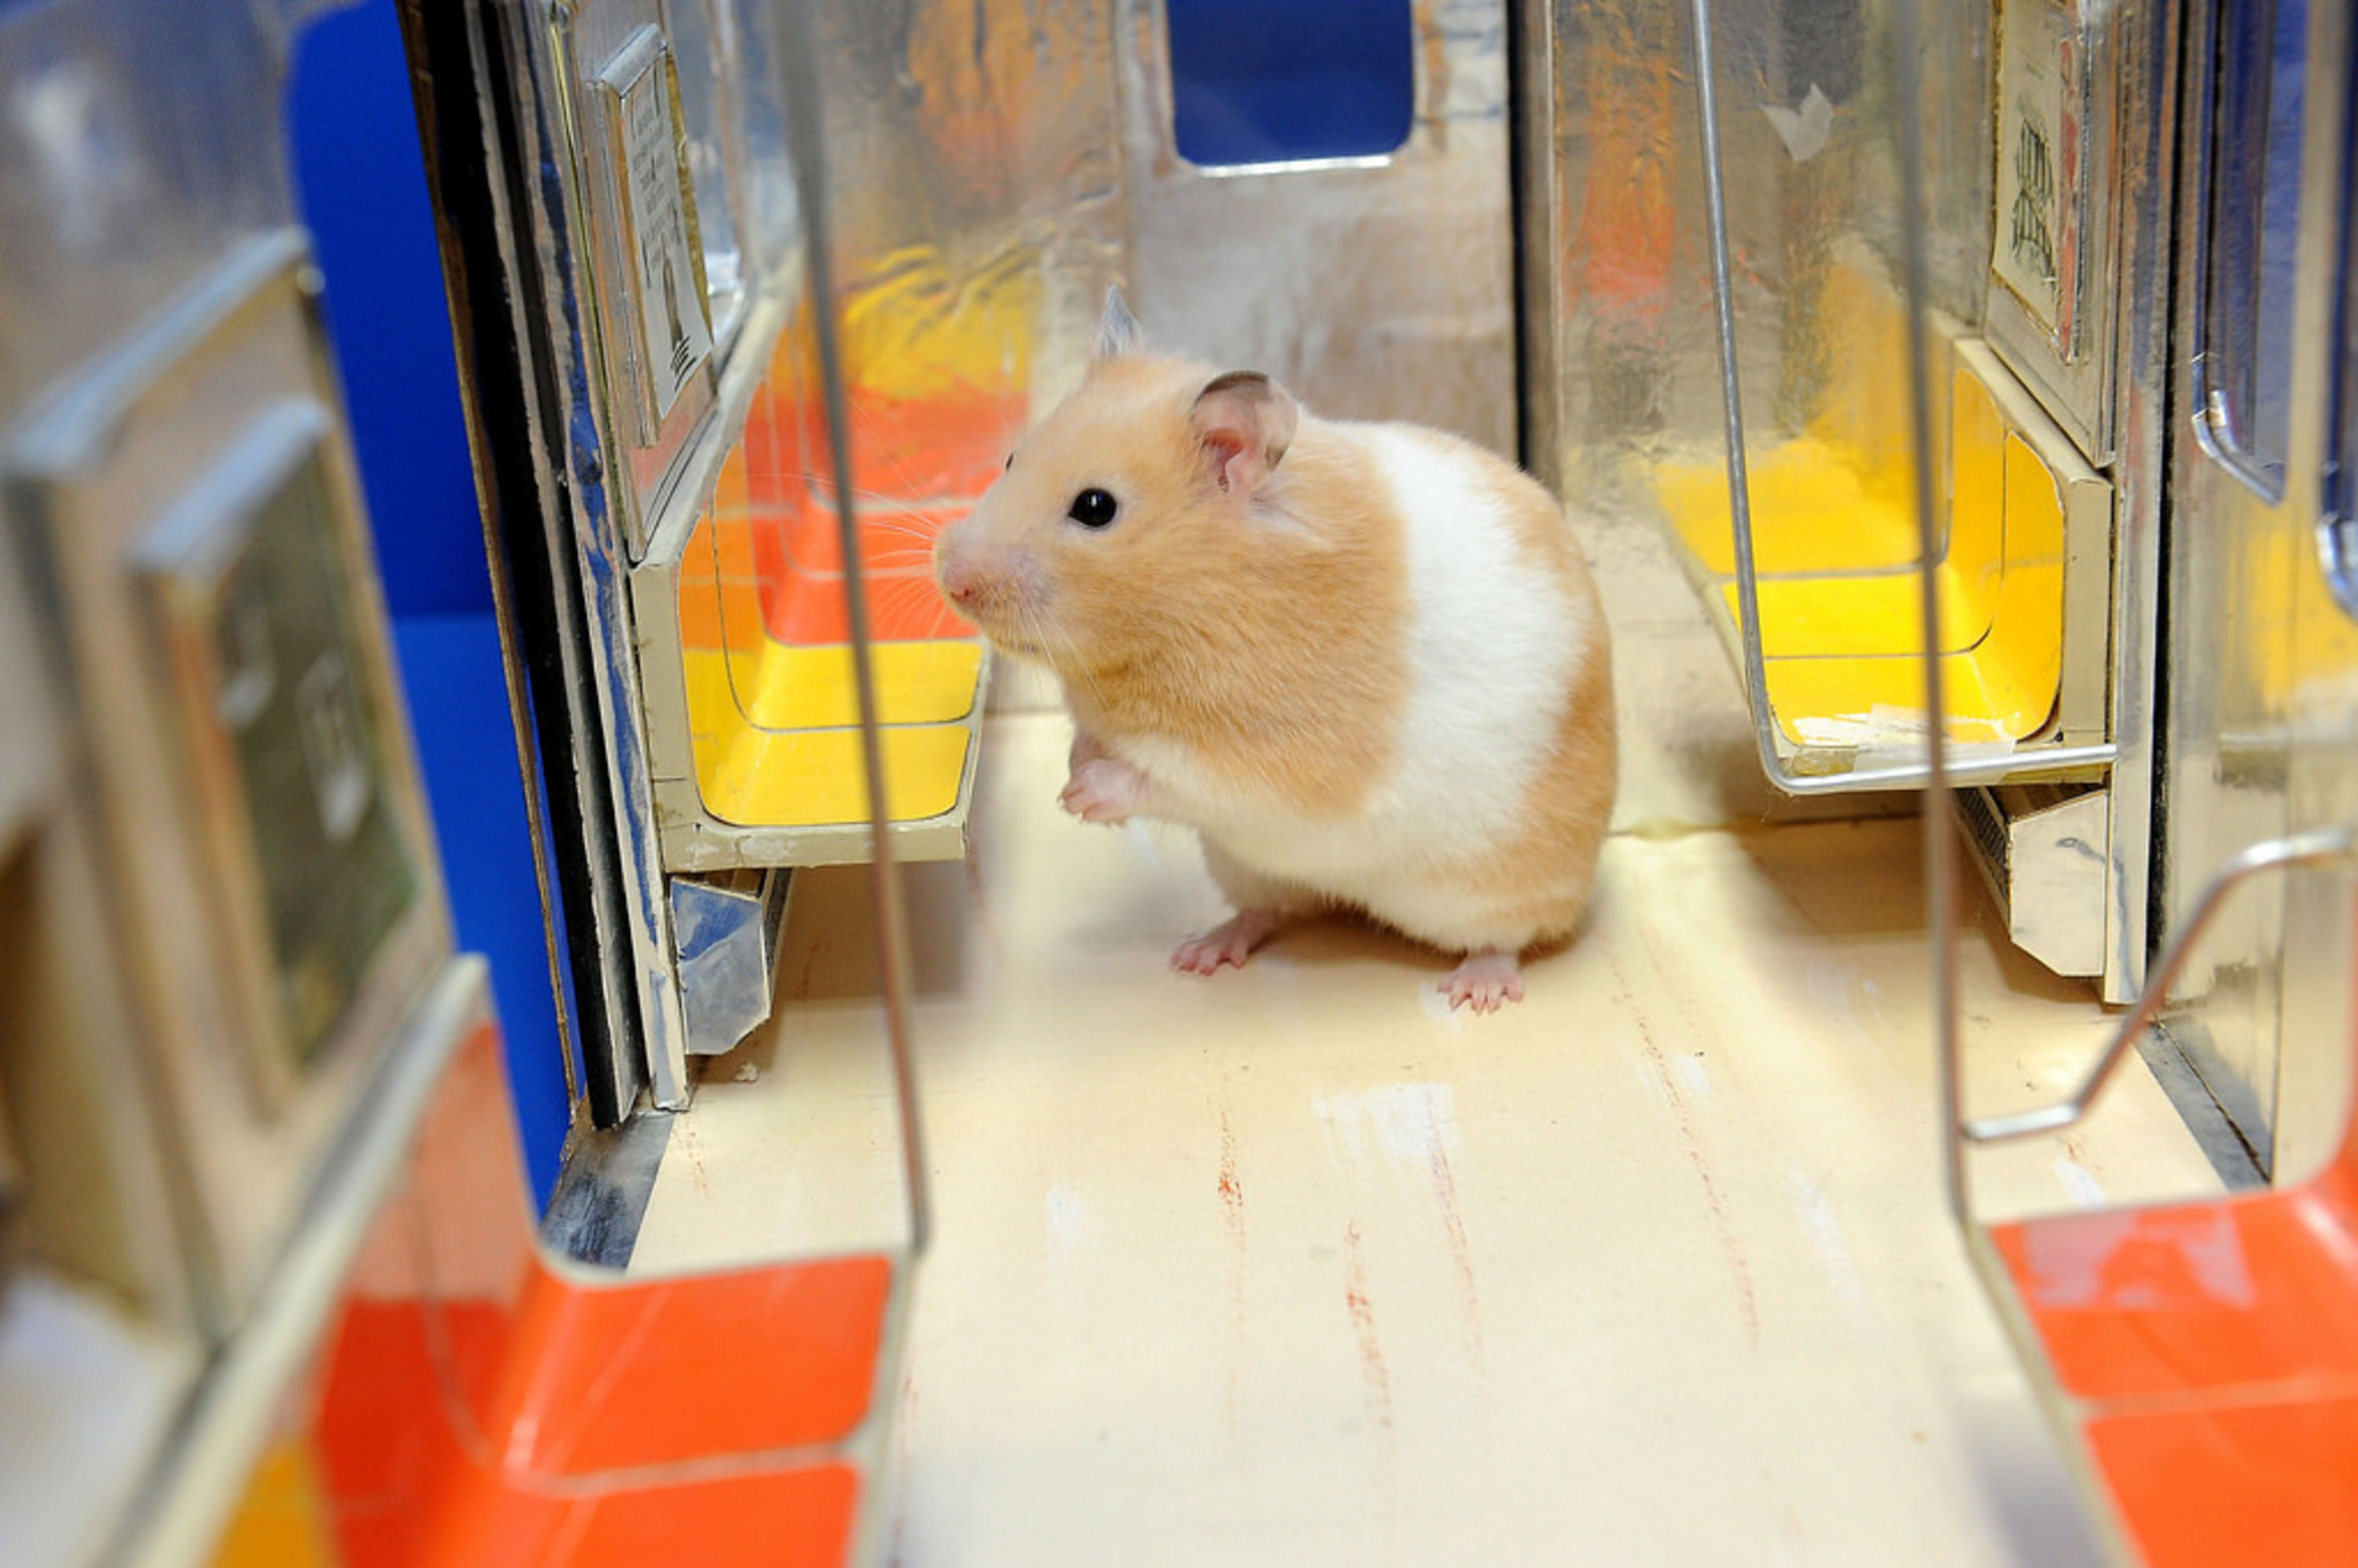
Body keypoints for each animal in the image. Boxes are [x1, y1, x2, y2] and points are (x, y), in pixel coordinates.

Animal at [933, 290, 1616, 1011]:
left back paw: (1475, 989)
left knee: (1507, 937)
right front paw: (1073, 773)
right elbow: (1092, 742)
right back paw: (1202, 952)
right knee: (1271, 910)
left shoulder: (1262, 771)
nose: (953, 579)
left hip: (1500, 886)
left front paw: (1082, 797)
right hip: (1245, 866)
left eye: (1095, 507)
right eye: (1013, 459)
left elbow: (1165, 778)